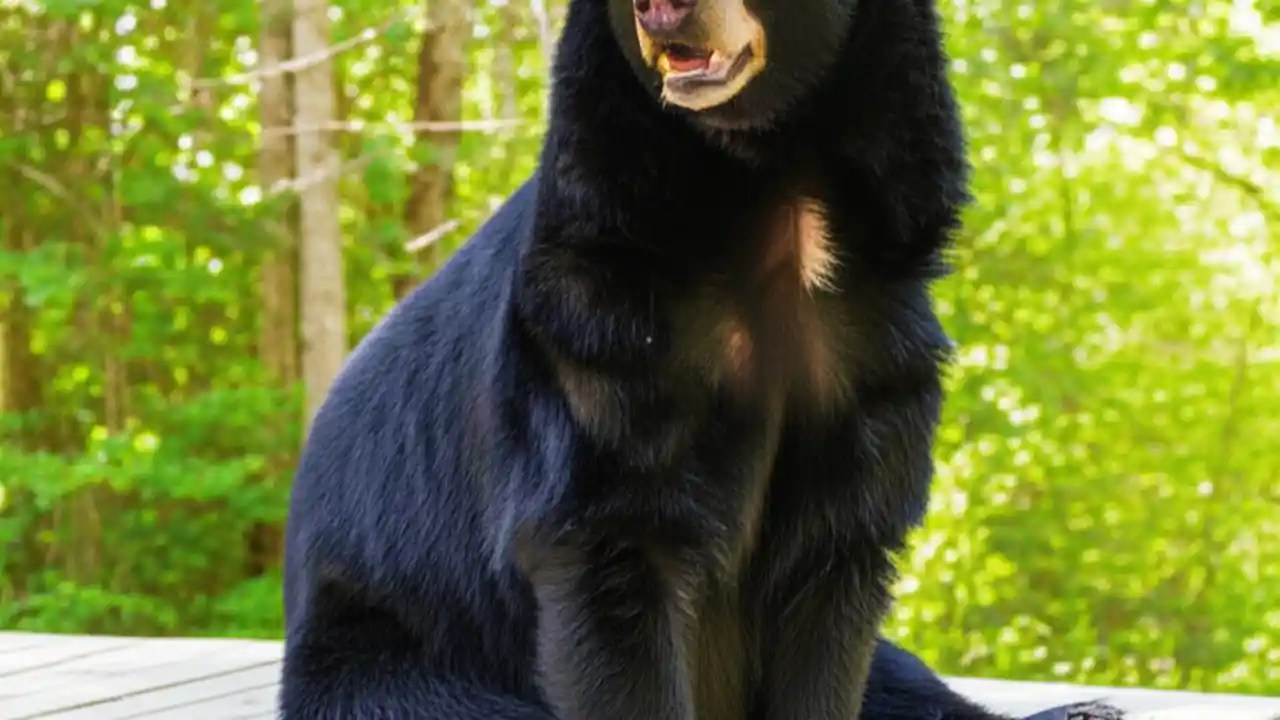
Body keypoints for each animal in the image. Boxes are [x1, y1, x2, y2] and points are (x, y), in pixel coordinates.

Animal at [280, 0, 1123, 718]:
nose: (660, 9)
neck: (772, 190)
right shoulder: (595, 328)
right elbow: (614, 552)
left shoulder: (875, 344)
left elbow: (838, 573)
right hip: (387, 654)